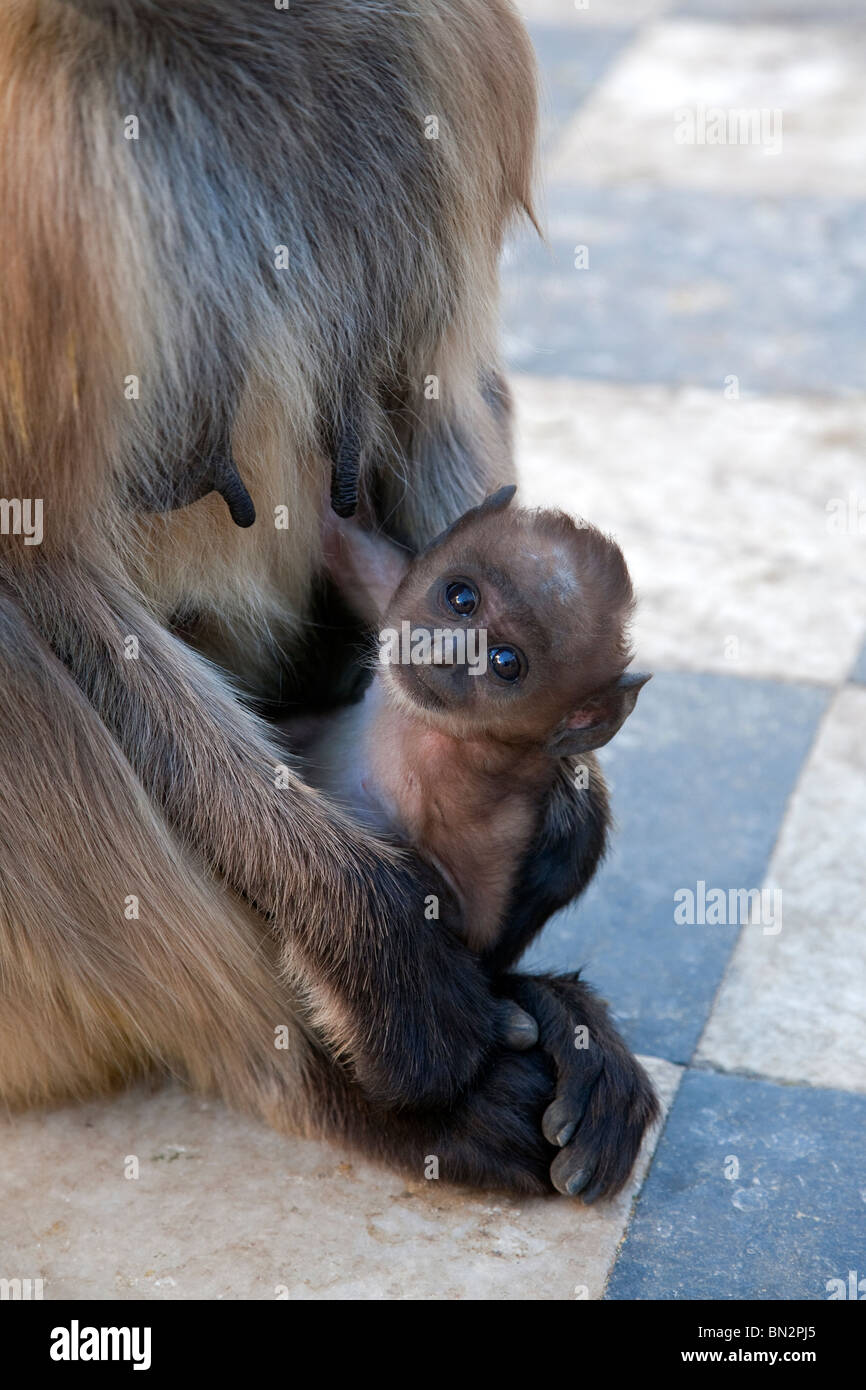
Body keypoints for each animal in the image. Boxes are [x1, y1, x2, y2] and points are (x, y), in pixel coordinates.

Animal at [285, 485, 650, 957]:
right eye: (461, 600)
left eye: (505, 662)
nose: (444, 651)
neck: (430, 730)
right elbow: (352, 553)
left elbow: (468, 926)